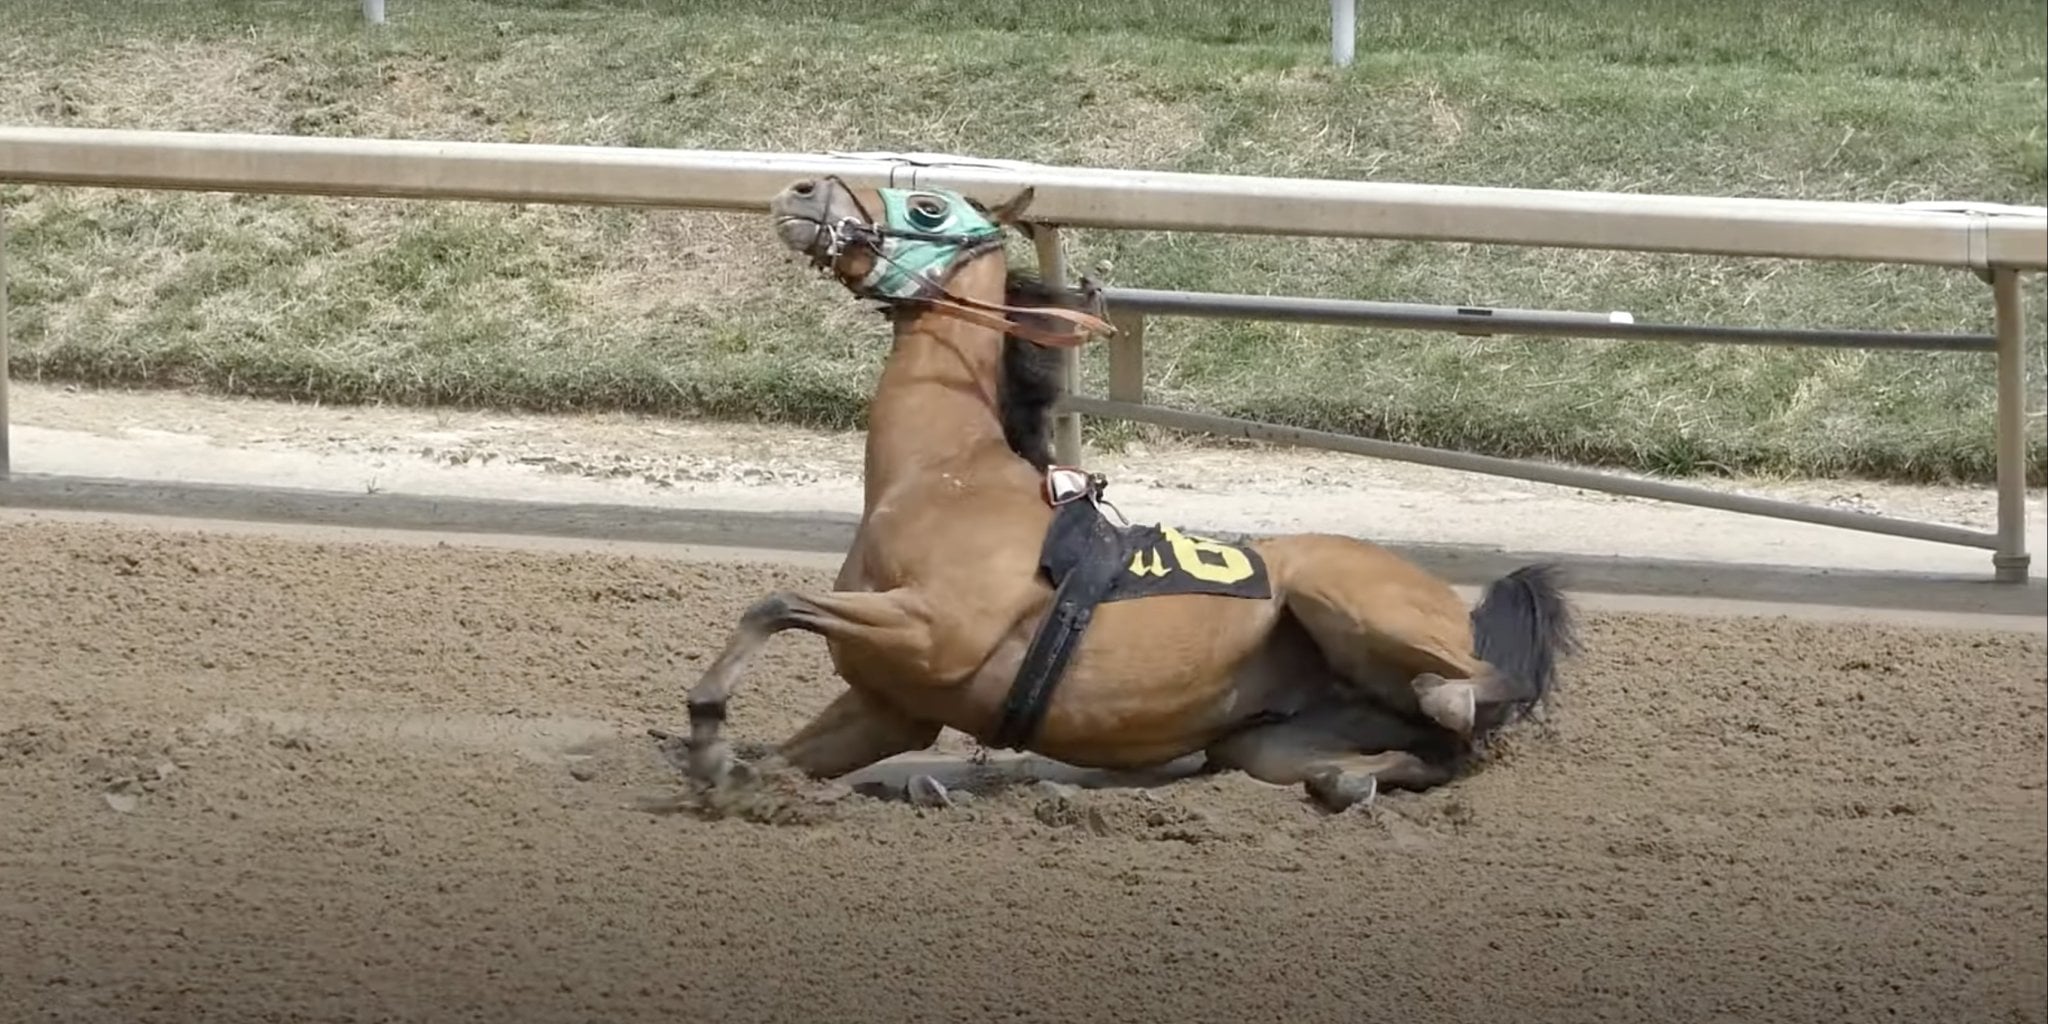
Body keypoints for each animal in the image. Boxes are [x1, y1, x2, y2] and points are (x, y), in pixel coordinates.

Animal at [660, 175, 1578, 812]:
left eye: (925, 206)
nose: (801, 190)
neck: (940, 473)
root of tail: (1452, 604)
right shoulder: (888, 705)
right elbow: (785, 746)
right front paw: (722, 764)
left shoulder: (935, 631)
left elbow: (775, 601)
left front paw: (705, 729)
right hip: (1273, 742)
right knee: (1419, 757)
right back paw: (1348, 781)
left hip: (1345, 595)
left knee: (1481, 686)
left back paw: (1447, 693)